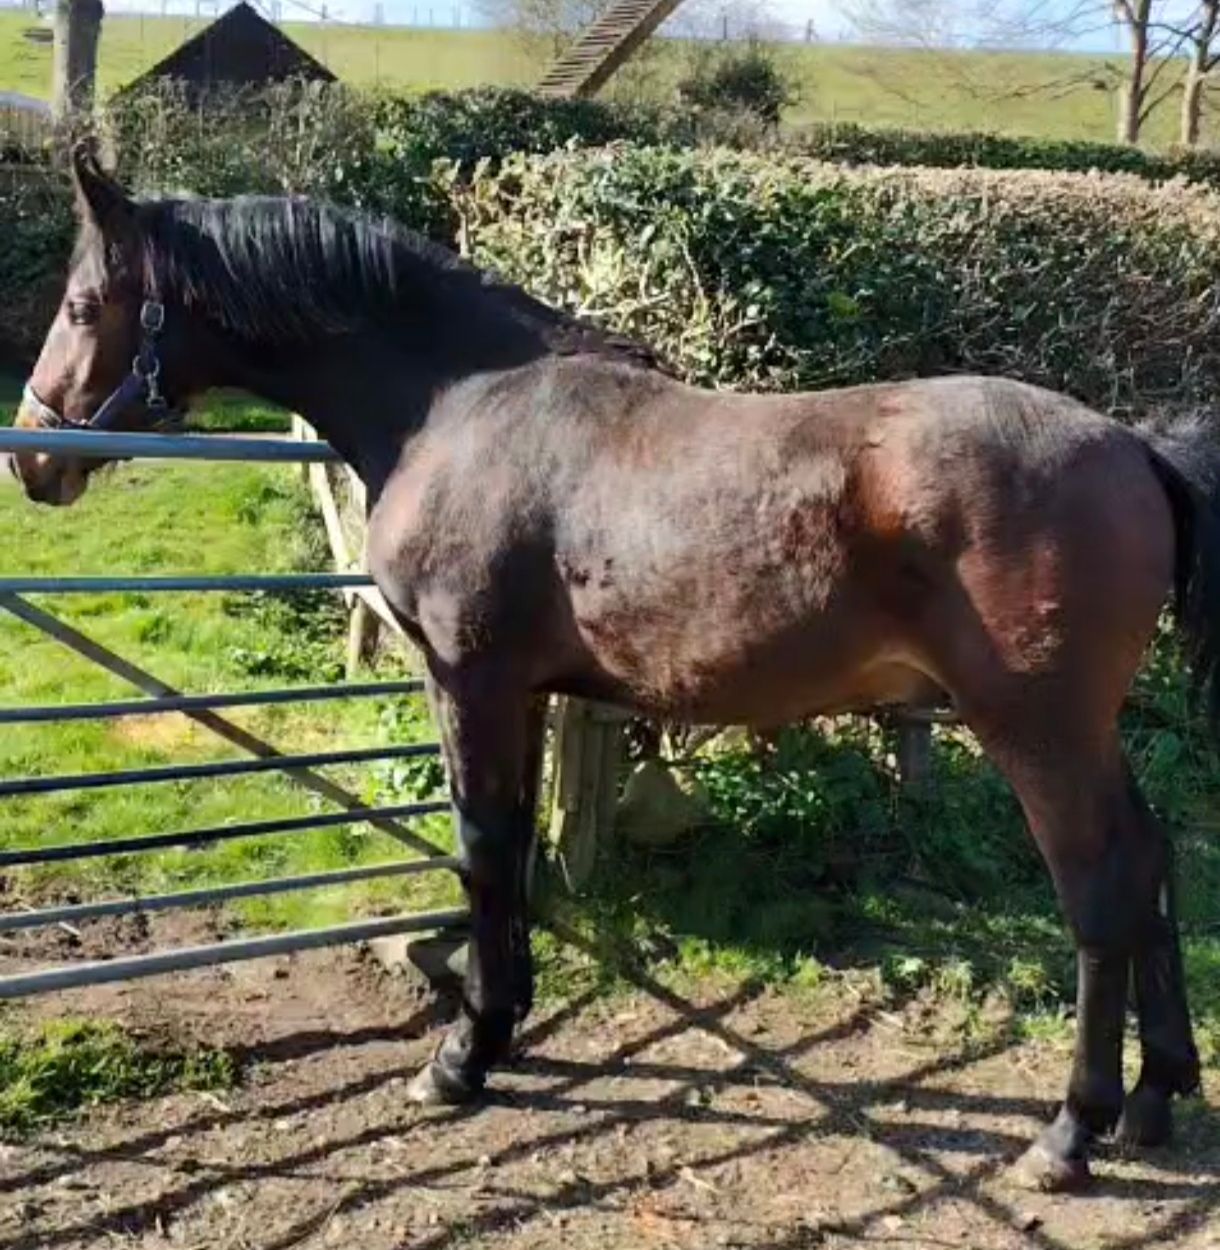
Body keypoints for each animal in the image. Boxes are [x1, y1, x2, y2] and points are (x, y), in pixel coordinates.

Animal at [9, 146, 1212, 1192]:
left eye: (83, 305)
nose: (35, 456)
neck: (460, 406)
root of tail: (1132, 448)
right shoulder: (528, 691)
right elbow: (509, 850)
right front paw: (501, 1019)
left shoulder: (470, 678)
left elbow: (482, 848)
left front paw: (463, 1054)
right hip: (1086, 730)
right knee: (1150, 858)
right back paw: (1157, 1097)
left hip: (1035, 729)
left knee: (1100, 886)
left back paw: (1072, 1130)